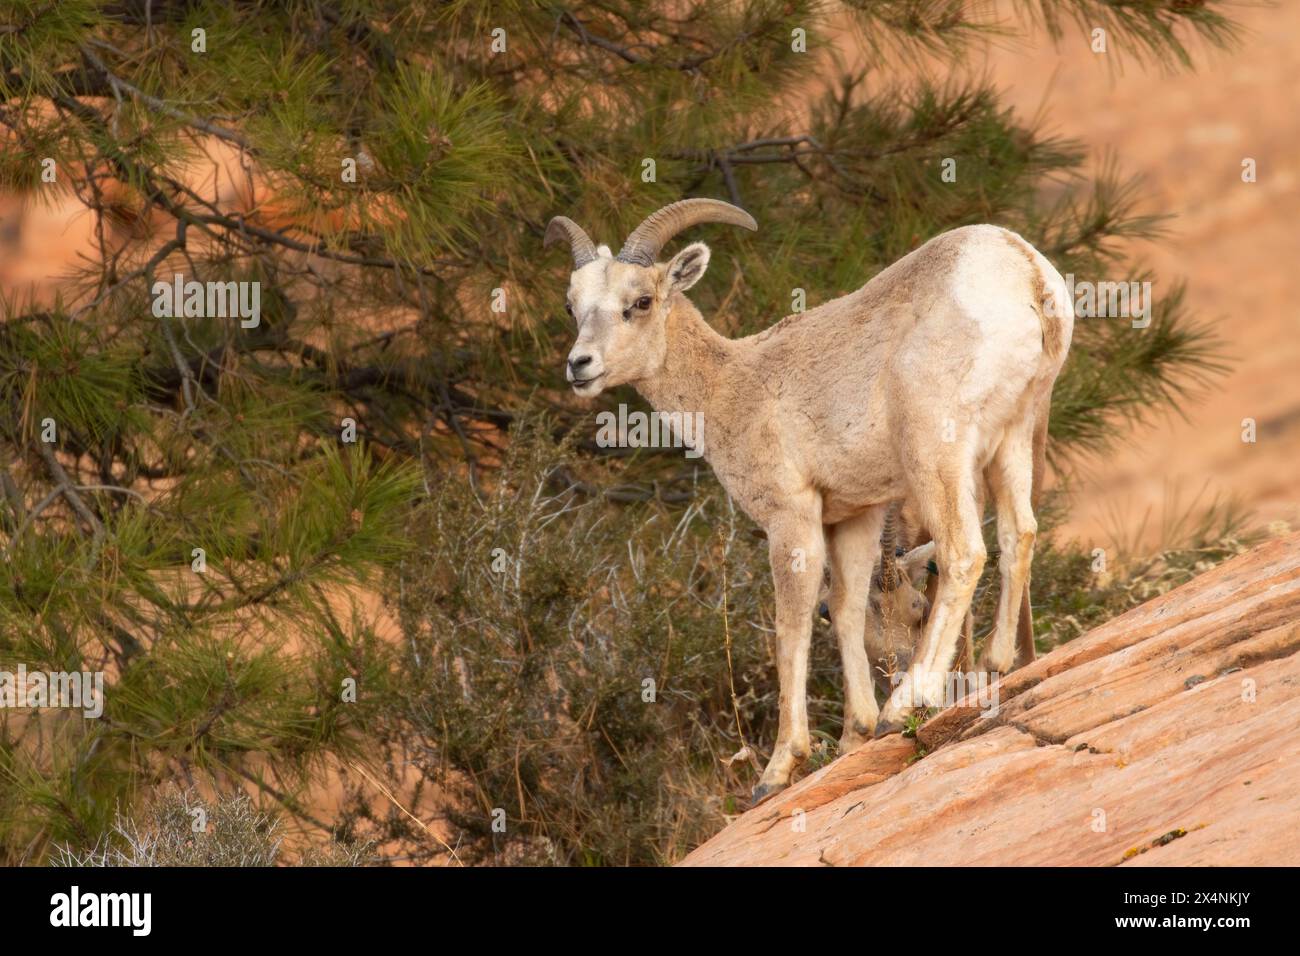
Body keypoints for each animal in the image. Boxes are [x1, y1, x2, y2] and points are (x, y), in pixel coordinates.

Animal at [545, 198, 1073, 802]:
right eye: (572, 306)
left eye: (641, 301)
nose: (580, 365)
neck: (730, 387)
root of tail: (1025, 270)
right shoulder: (854, 518)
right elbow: (844, 609)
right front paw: (852, 737)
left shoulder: (790, 516)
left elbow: (791, 626)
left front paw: (777, 770)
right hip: (1013, 435)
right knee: (1018, 534)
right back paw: (994, 665)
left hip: (937, 453)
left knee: (965, 553)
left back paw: (905, 705)